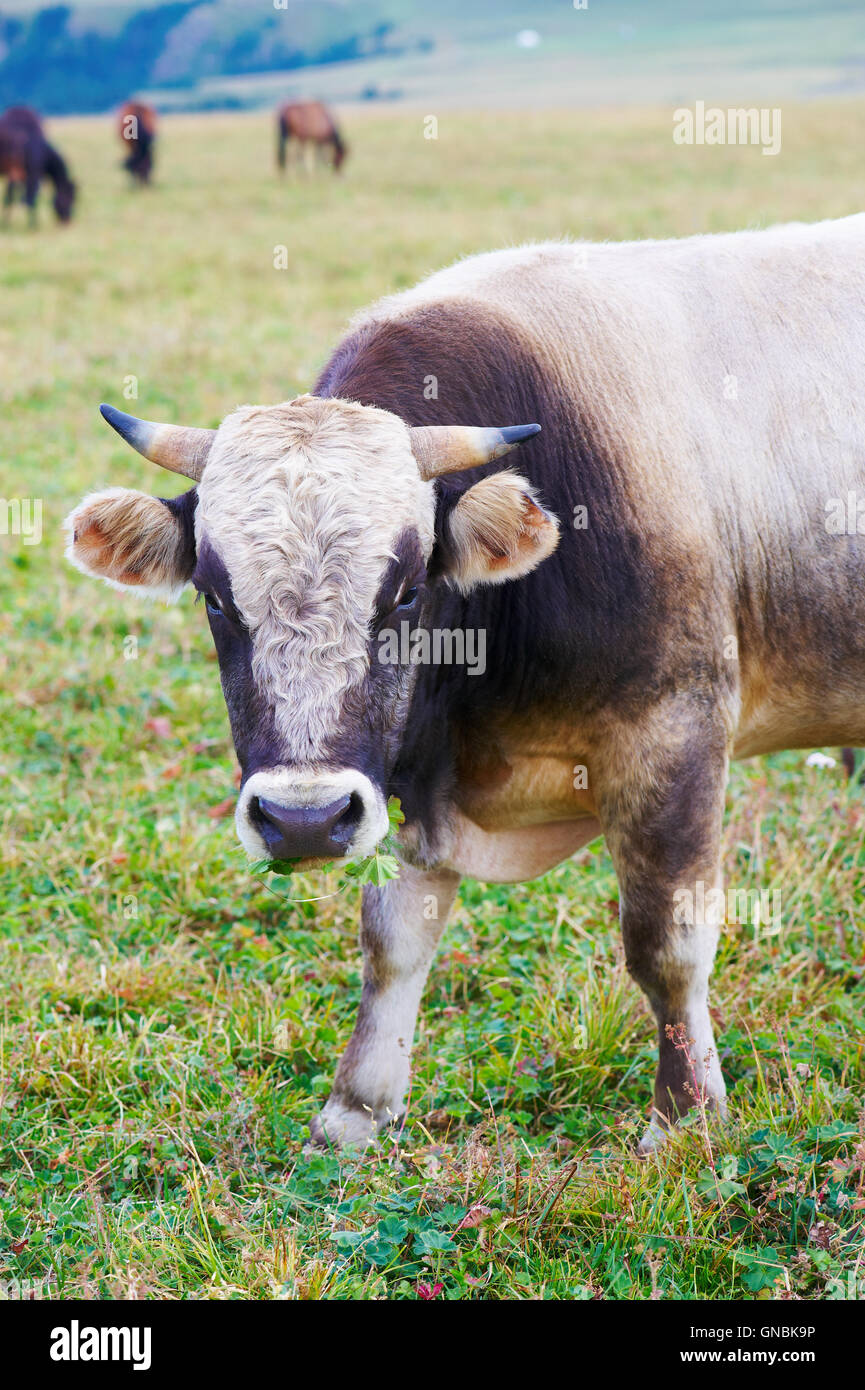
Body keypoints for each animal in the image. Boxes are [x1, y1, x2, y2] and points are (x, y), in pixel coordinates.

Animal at [65, 214, 865, 1152]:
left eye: (407, 591)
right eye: (214, 596)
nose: (302, 820)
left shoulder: (673, 735)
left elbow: (664, 944)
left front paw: (684, 1121)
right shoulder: (404, 779)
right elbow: (393, 937)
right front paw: (357, 1110)